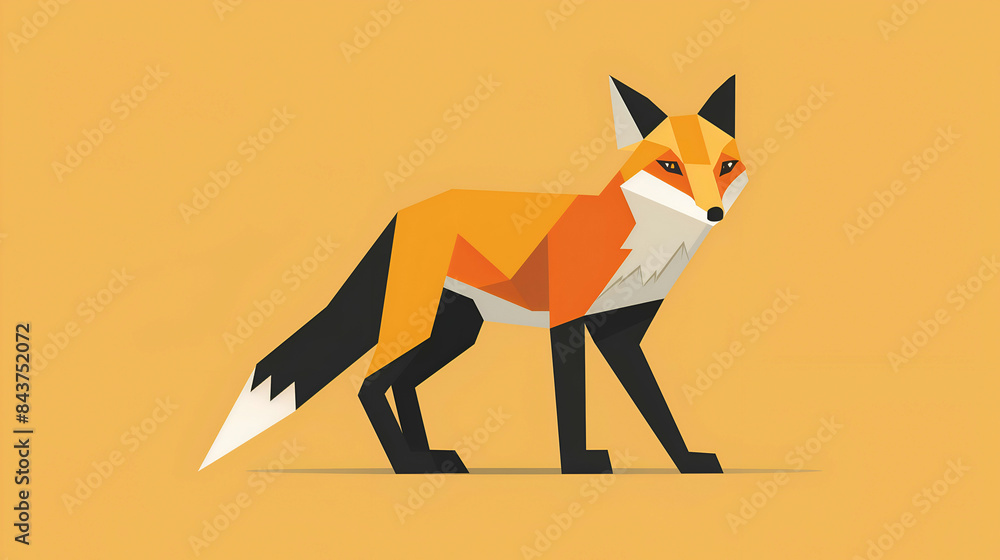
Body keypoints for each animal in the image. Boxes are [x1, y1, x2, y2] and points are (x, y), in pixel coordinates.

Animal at [201, 75, 748, 474]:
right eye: (670, 167)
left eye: (725, 167)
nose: (714, 213)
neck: (647, 245)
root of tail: (406, 212)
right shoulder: (567, 326)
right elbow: (572, 410)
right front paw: (578, 465)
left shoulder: (622, 333)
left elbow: (657, 409)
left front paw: (687, 462)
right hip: (416, 327)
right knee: (369, 386)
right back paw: (406, 464)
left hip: (454, 332)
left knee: (403, 384)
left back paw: (428, 455)